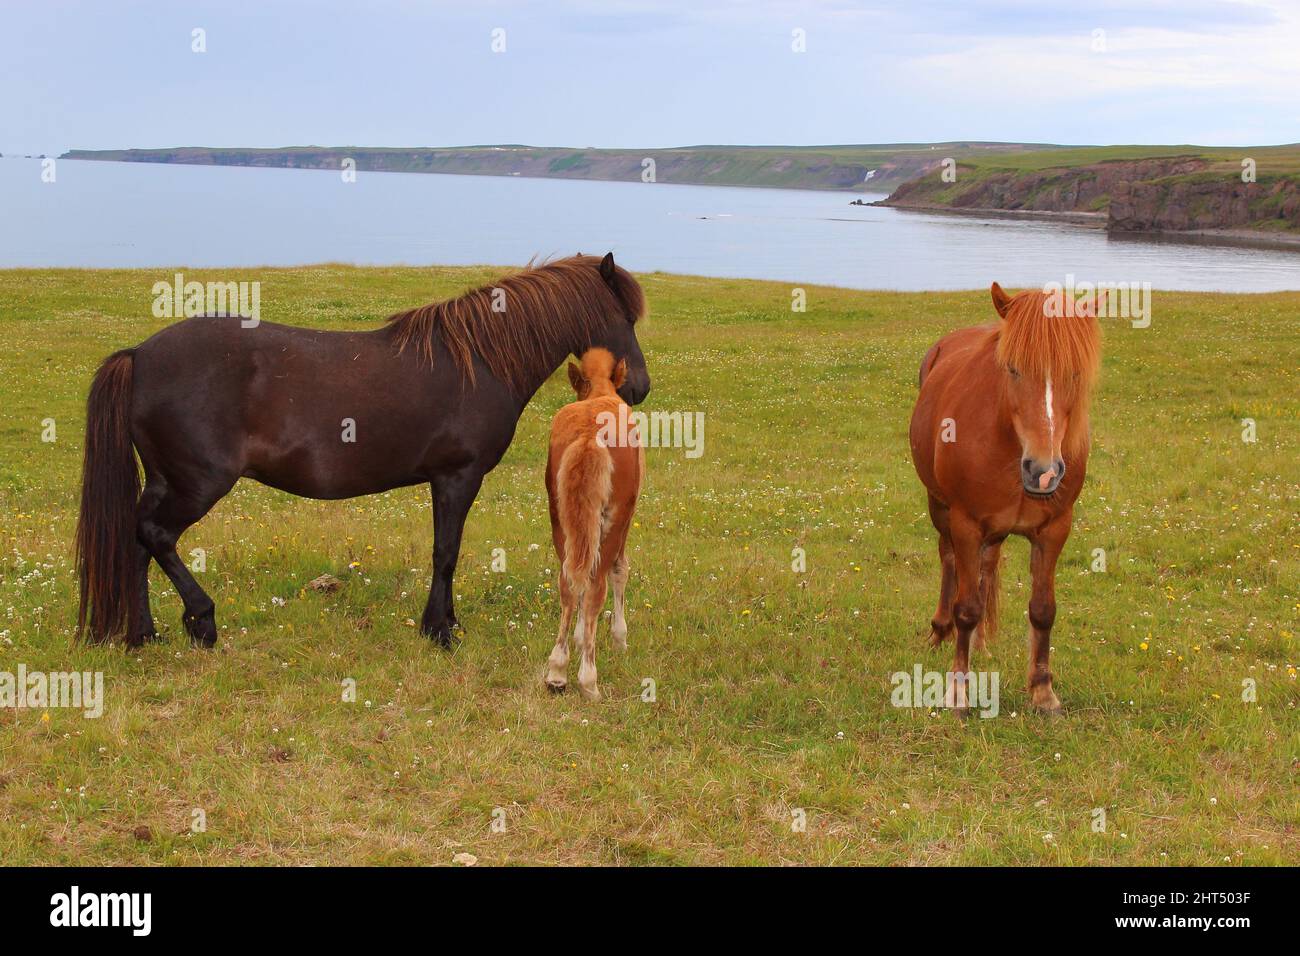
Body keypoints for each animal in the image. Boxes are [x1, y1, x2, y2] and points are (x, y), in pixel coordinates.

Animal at [75, 253, 650, 650]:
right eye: (624, 316)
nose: (638, 388)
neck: (481, 361)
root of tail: (140, 355)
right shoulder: (457, 476)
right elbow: (446, 552)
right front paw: (439, 630)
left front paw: (445, 622)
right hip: (196, 483)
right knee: (155, 535)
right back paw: (202, 620)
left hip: (167, 481)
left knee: (137, 540)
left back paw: (144, 634)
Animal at [542, 348, 645, 701]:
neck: (601, 392)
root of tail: (589, 436)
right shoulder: (625, 518)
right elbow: (620, 570)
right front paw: (620, 639)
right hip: (613, 520)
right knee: (598, 584)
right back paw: (589, 680)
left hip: (560, 519)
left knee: (568, 582)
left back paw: (557, 672)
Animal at [908, 282, 1103, 714]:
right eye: (1012, 368)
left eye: (1074, 371)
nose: (1043, 471)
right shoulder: (965, 522)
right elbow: (966, 607)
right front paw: (958, 692)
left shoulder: (1054, 529)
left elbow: (1043, 610)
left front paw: (1043, 692)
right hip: (939, 507)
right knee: (950, 563)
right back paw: (939, 632)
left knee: (984, 569)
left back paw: (980, 643)